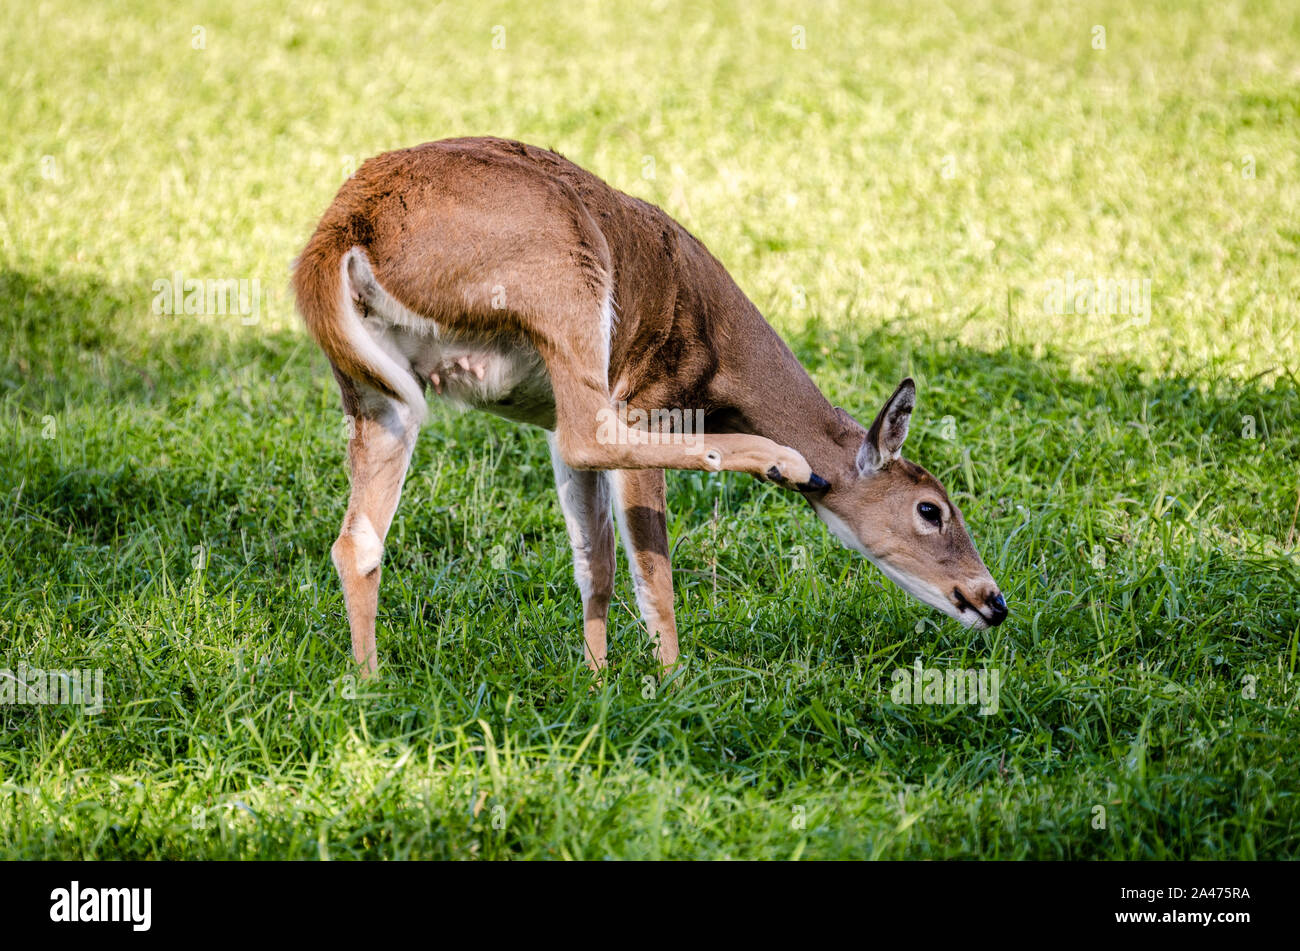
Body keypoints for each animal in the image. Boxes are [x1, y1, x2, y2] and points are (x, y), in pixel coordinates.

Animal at [293, 137, 1007, 678]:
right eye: (931, 509)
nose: (993, 600)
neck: (726, 363)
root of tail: (348, 224)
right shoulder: (647, 398)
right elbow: (652, 568)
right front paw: (672, 683)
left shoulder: (549, 422)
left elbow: (597, 561)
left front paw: (597, 678)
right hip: (568, 274)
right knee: (592, 436)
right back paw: (784, 462)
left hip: (375, 391)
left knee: (356, 540)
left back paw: (369, 683)